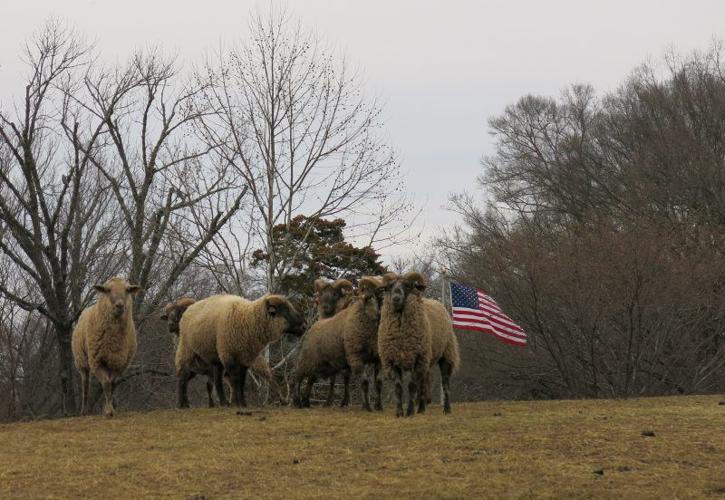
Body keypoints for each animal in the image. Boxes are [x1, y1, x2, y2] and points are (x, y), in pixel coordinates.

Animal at [71, 277, 142, 417]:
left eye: (127, 290)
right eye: (108, 290)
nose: (119, 305)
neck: (114, 340)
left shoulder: (119, 363)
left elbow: (112, 384)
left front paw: (109, 408)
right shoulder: (97, 361)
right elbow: (106, 384)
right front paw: (109, 411)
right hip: (82, 361)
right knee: (85, 384)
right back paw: (84, 410)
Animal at [342, 276, 386, 411]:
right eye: (371, 296)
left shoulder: (378, 358)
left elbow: (378, 382)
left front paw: (379, 406)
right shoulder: (358, 358)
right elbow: (365, 383)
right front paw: (367, 407)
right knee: (347, 379)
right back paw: (347, 402)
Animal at [377, 272, 460, 417]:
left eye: (407, 285)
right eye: (389, 286)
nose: (395, 298)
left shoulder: (416, 359)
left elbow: (411, 386)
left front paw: (409, 412)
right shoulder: (393, 361)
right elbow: (398, 388)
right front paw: (399, 413)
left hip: (446, 354)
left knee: (445, 383)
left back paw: (447, 409)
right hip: (426, 359)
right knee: (423, 383)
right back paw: (421, 409)